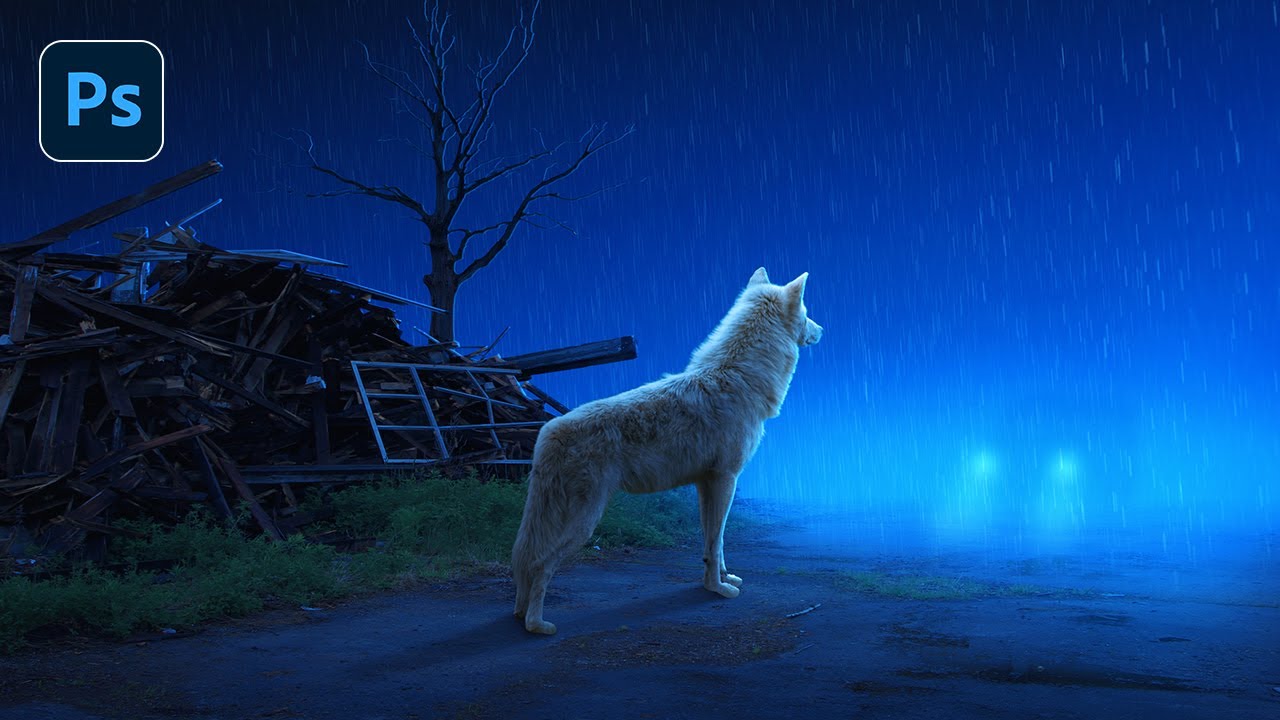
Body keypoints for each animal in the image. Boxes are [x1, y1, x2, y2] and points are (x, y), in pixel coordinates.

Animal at [510, 268, 822, 634]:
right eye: (807, 313)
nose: (822, 329)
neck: (739, 377)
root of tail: (548, 431)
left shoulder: (706, 483)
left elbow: (714, 542)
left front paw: (724, 578)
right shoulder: (726, 478)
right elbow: (717, 540)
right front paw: (718, 589)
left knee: (525, 558)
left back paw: (519, 613)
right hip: (584, 522)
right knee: (540, 564)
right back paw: (536, 624)